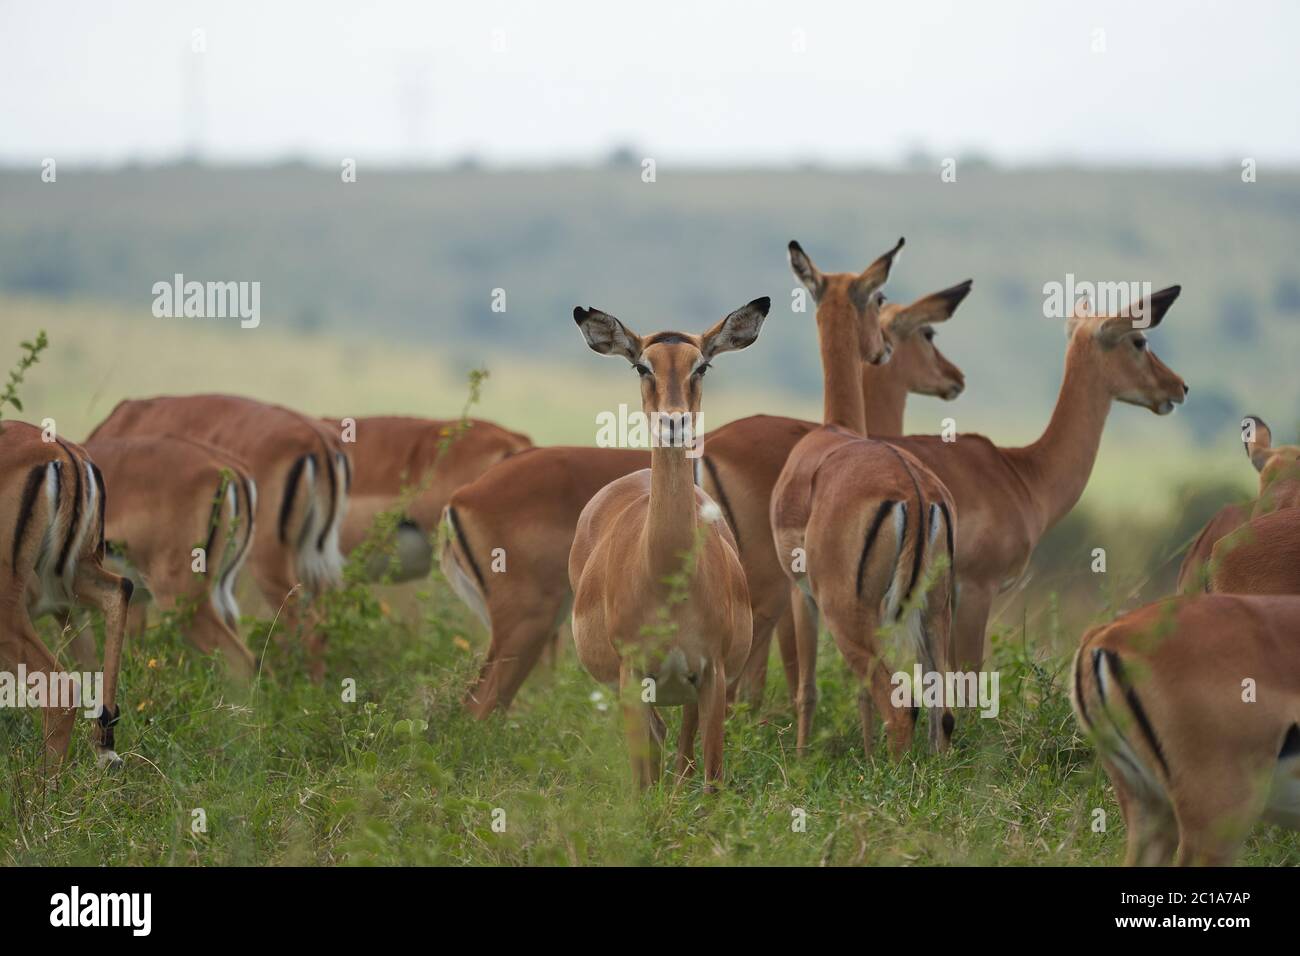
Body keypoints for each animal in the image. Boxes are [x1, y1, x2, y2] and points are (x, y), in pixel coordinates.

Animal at [440, 280, 972, 717]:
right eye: (925, 332)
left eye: (703, 364)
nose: (955, 378)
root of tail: (458, 501)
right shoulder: (782, 599)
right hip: (526, 625)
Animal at [567, 298, 768, 789]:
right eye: (643, 366)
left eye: (702, 365)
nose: (673, 422)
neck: (666, 575)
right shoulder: (632, 676)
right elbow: (641, 781)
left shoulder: (711, 675)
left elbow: (710, 777)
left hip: (687, 692)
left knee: (681, 758)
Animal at [771, 238, 957, 759]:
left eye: (879, 297)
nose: (883, 348)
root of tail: (914, 491)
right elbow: (857, 697)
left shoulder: (800, 593)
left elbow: (807, 688)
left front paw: (801, 761)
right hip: (934, 613)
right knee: (941, 713)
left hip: (845, 614)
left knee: (901, 707)